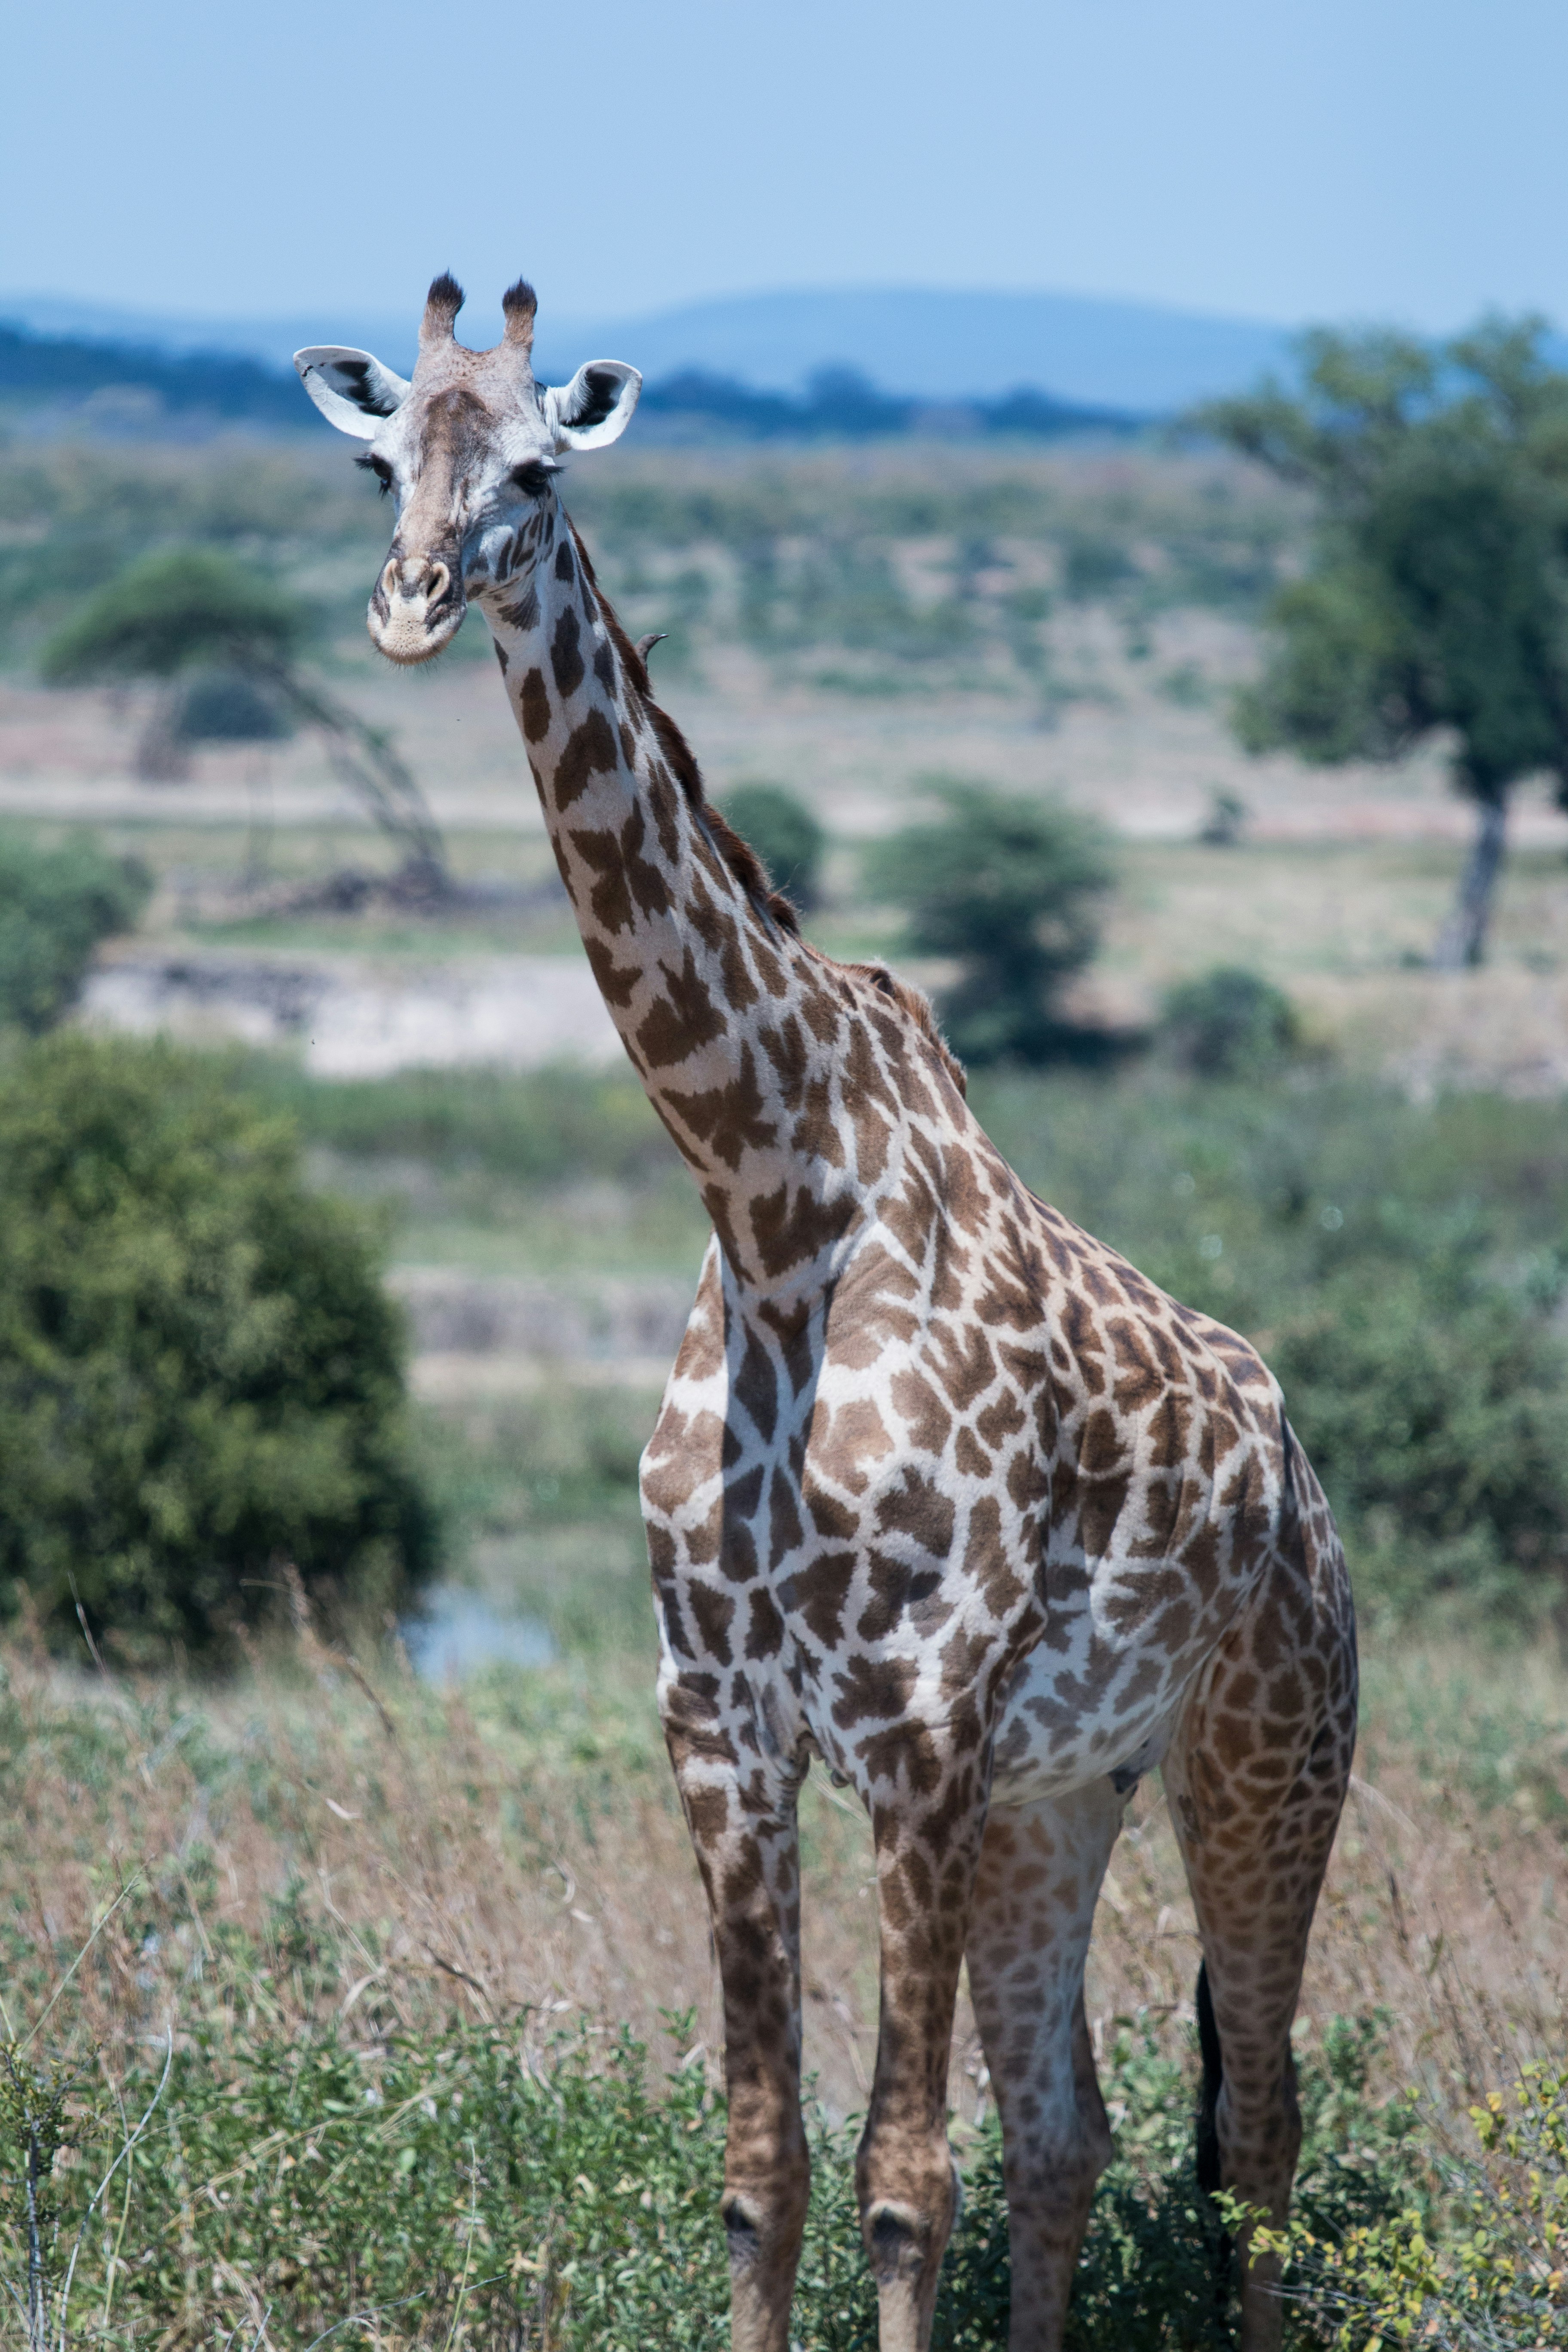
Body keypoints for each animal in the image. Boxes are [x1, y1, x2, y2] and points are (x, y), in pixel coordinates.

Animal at [296, 276, 1358, 2352]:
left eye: (537, 467)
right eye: (383, 463)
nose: (409, 601)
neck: (769, 1196)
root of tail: (1296, 1467)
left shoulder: (917, 1725)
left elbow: (896, 2178)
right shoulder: (721, 1723)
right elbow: (761, 2168)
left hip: (1264, 1753)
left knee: (1256, 2131)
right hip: (1065, 1793)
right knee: (1071, 2127)